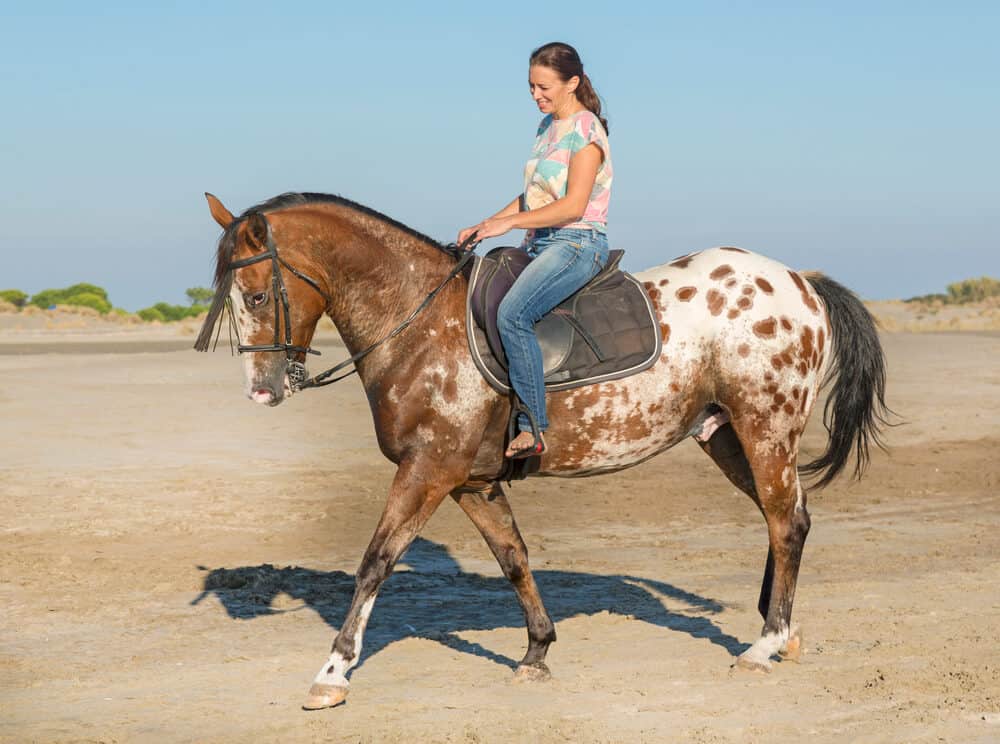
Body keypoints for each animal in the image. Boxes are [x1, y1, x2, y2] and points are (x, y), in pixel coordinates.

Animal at [195, 191, 889, 710]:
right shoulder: (470, 481)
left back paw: (765, 645)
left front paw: (333, 673)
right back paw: (782, 632)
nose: (261, 390)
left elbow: (376, 562)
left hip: (765, 427)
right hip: (726, 436)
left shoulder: (427, 471)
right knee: (787, 518)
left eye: (256, 296)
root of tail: (798, 281)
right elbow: (514, 560)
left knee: (784, 521)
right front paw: (537, 651)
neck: (419, 322)